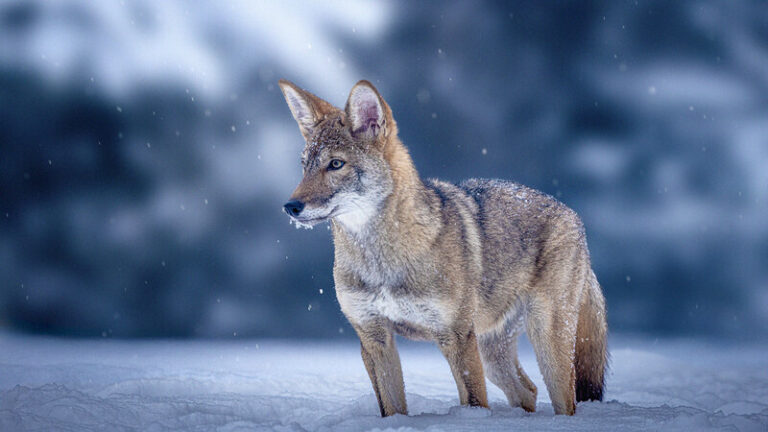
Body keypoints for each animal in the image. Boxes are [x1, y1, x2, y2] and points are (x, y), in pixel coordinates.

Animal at [278, 79, 608, 417]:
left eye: (335, 164)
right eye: (304, 167)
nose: (291, 207)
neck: (381, 260)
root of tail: (572, 214)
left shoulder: (456, 338)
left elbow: (475, 403)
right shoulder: (374, 337)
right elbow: (392, 408)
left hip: (545, 343)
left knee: (564, 402)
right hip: (493, 353)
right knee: (527, 391)